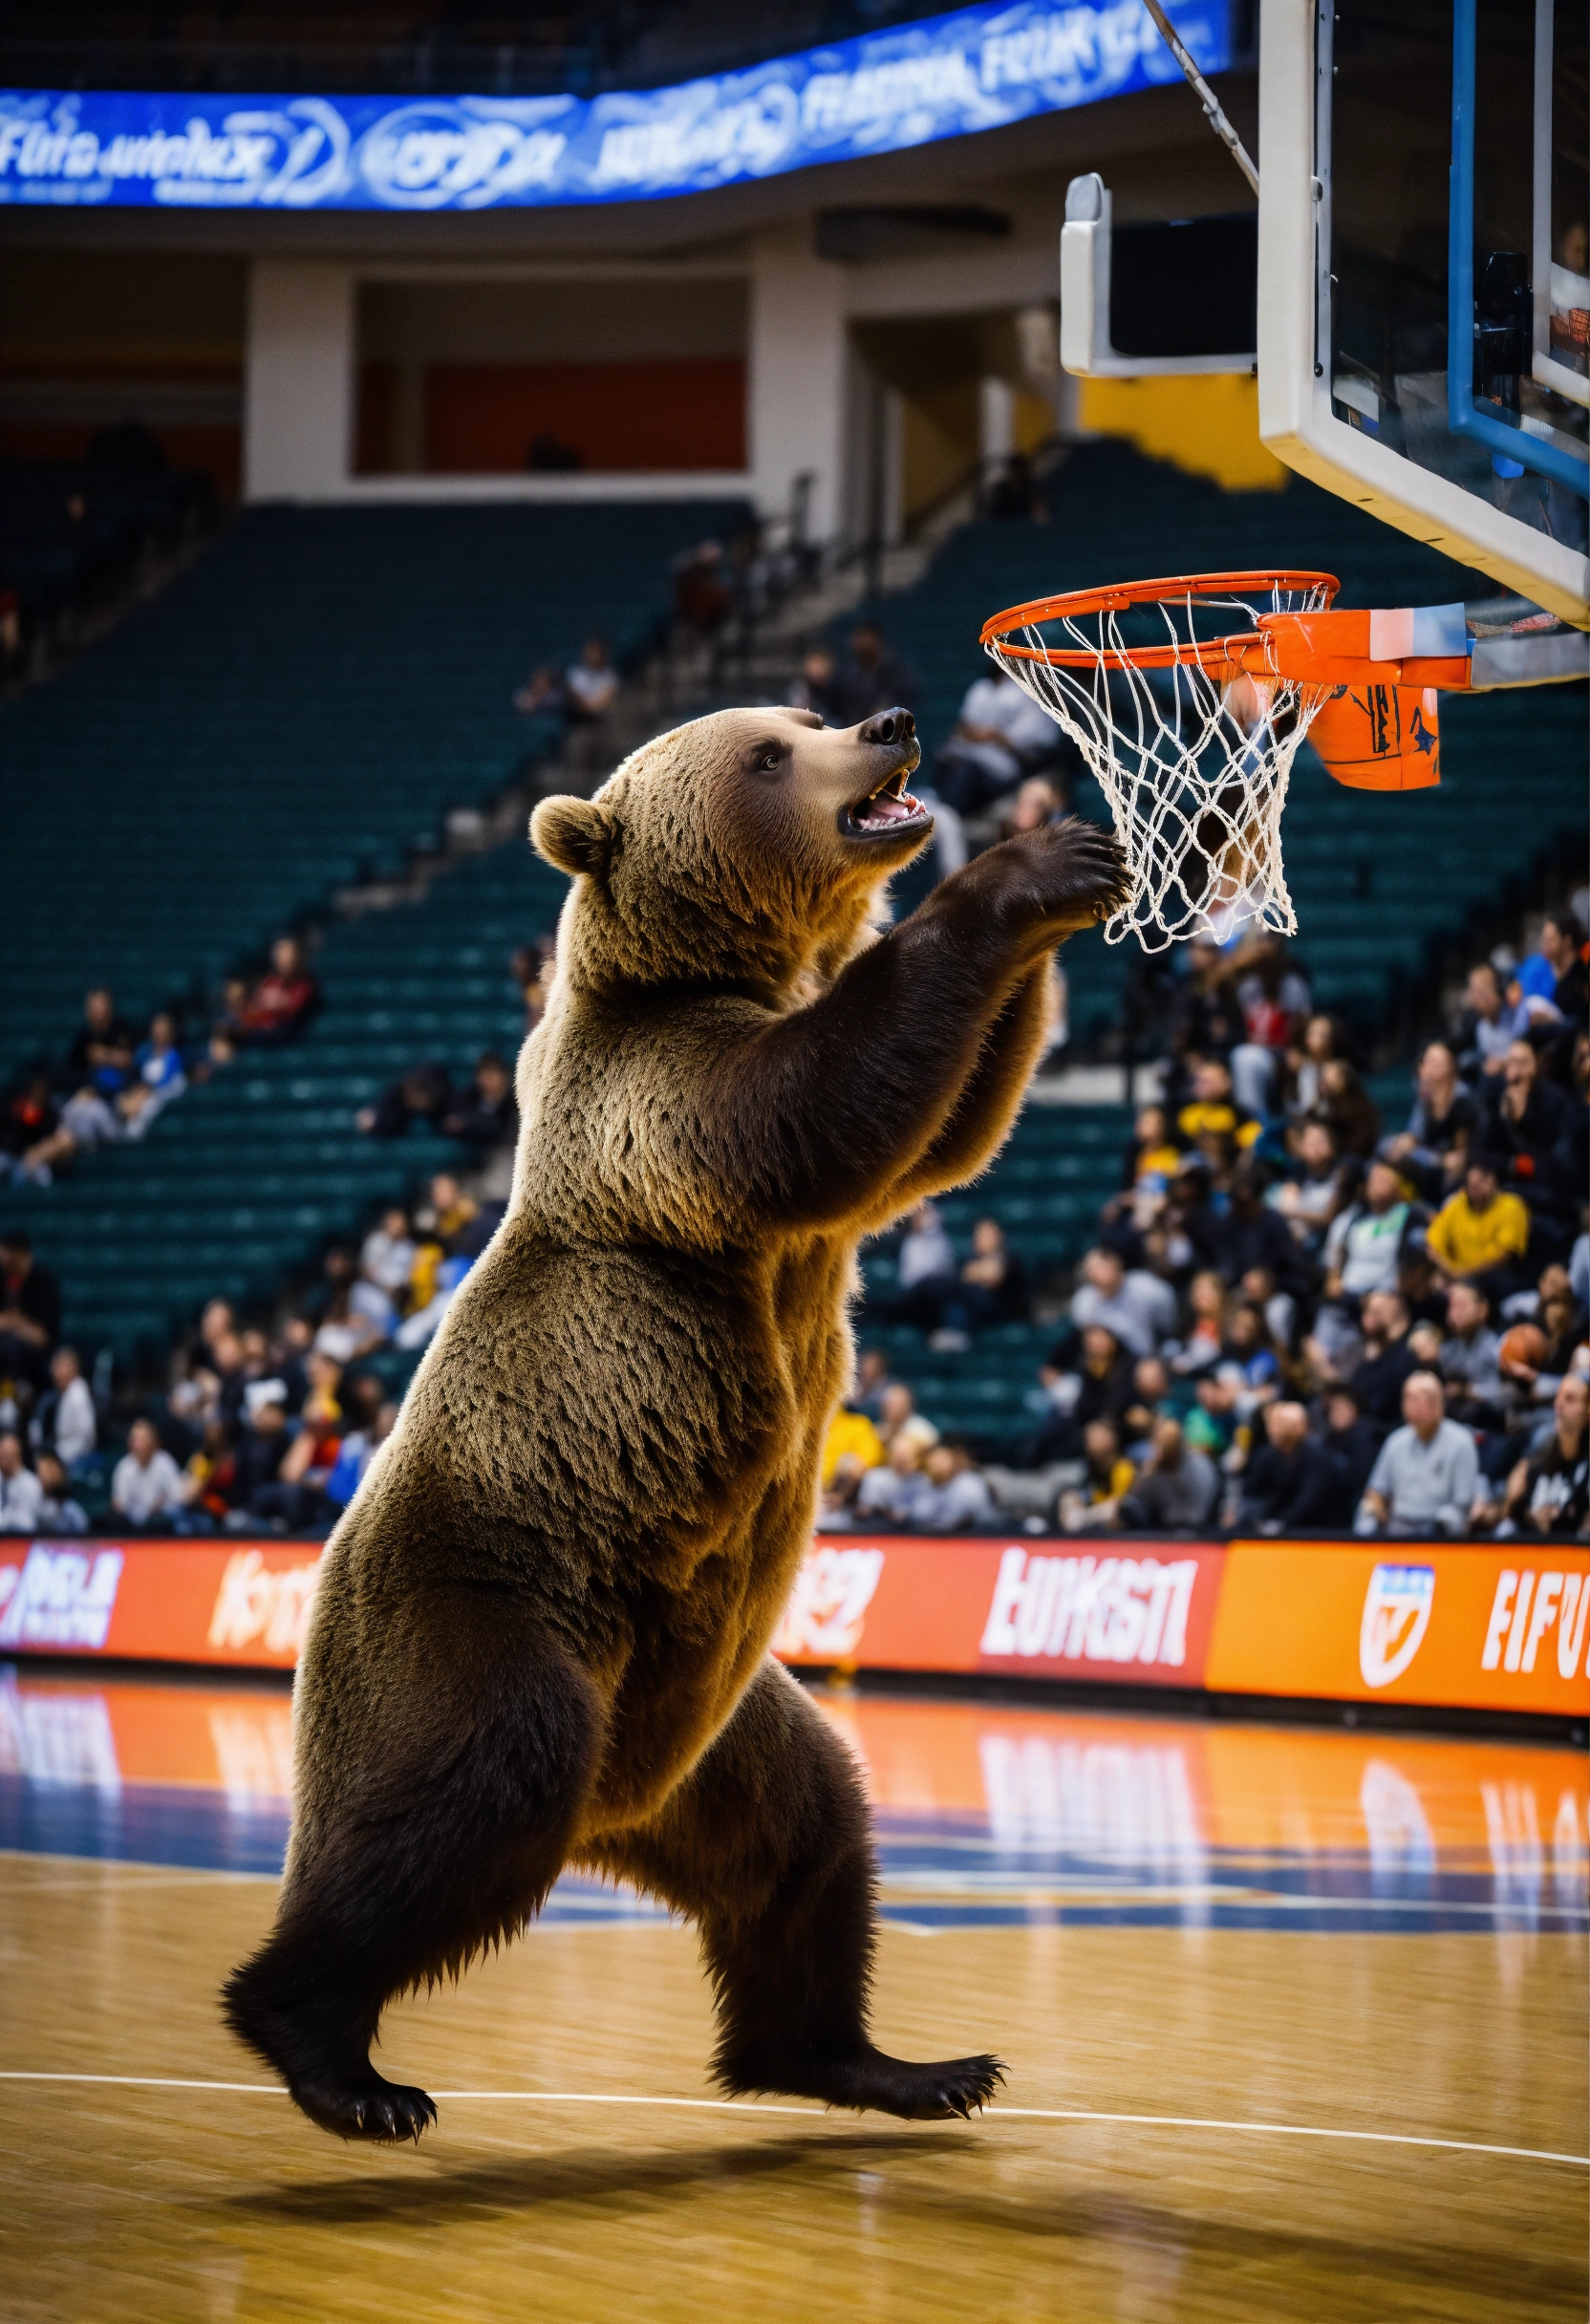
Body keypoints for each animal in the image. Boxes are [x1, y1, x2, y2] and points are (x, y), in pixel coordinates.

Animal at [223, 700, 1128, 2144]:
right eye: (768, 751)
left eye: (806, 715)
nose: (888, 722)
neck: (729, 964)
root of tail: (615, 1808)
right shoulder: (660, 1105)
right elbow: (830, 1101)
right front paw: (1027, 869)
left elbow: (949, 1125)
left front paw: (1074, 839)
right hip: (496, 1615)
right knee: (462, 1792)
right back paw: (334, 2055)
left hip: (714, 1722)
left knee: (809, 1837)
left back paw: (885, 2061)